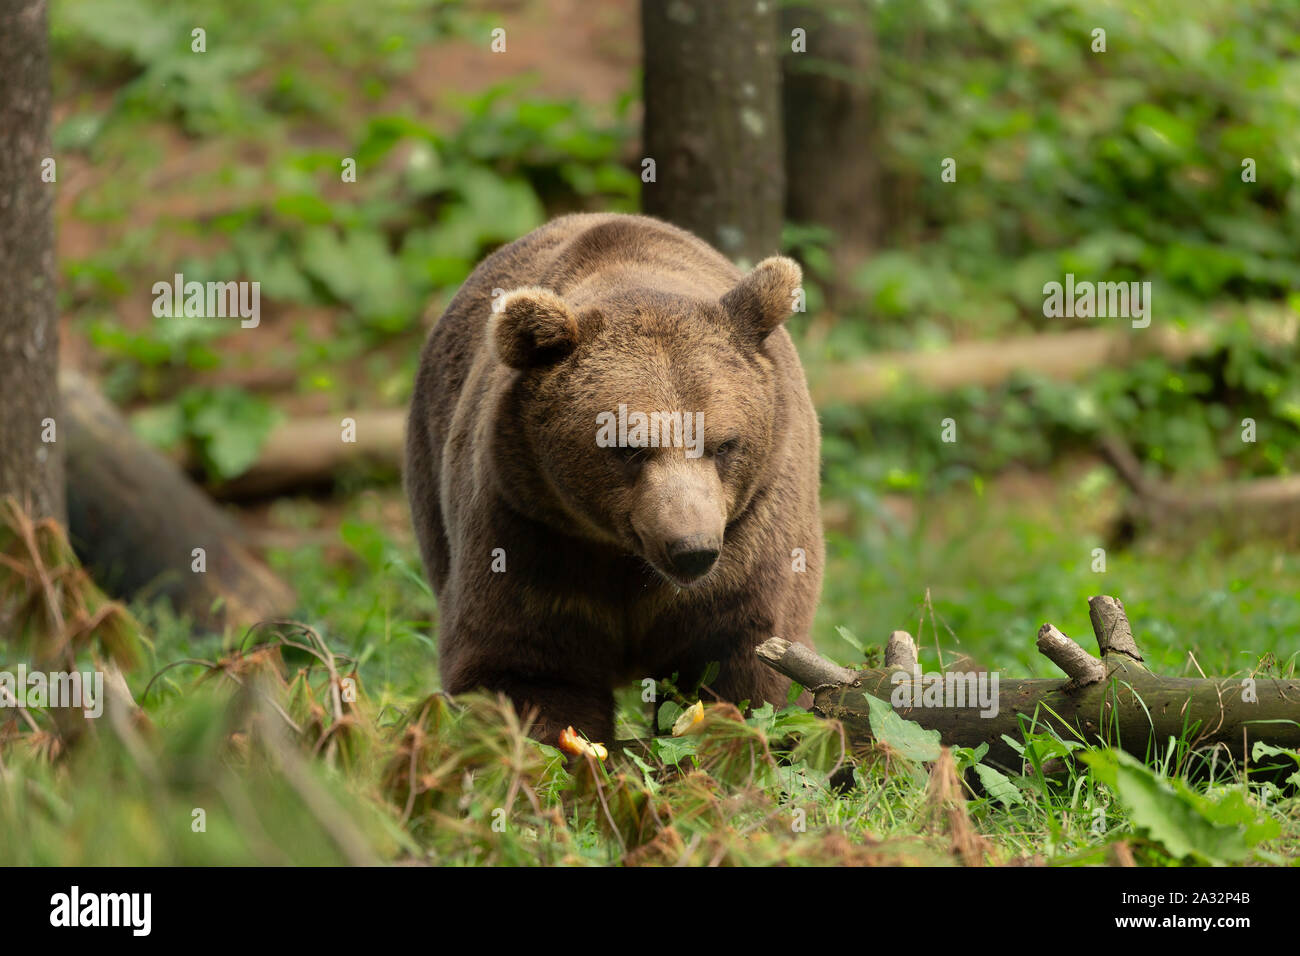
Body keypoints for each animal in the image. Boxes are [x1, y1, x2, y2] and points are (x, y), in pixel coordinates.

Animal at [405, 212, 823, 746]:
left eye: (724, 444)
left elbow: (745, 660)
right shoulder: (527, 526)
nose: (692, 549)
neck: (626, 560)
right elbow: (524, 665)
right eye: (627, 447)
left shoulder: (754, 528)